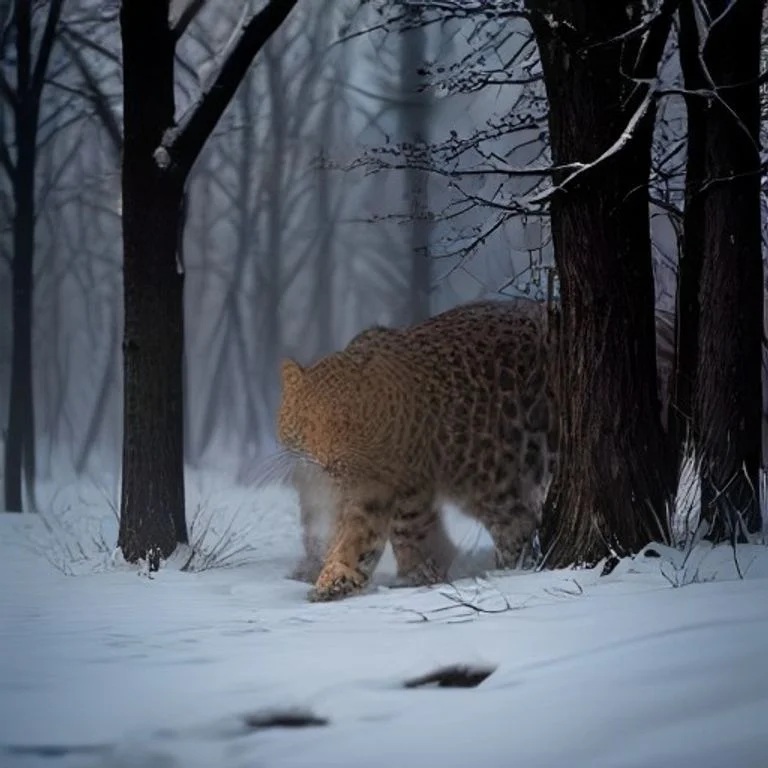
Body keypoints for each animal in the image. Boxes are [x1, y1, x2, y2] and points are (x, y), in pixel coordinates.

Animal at [277, 299, 560, 602]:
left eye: (346, 421)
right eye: (306, 421)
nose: (327, 462)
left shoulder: (380, 487)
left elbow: (377, 532)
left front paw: (411, 575)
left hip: (492, 476)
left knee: (517, 523)